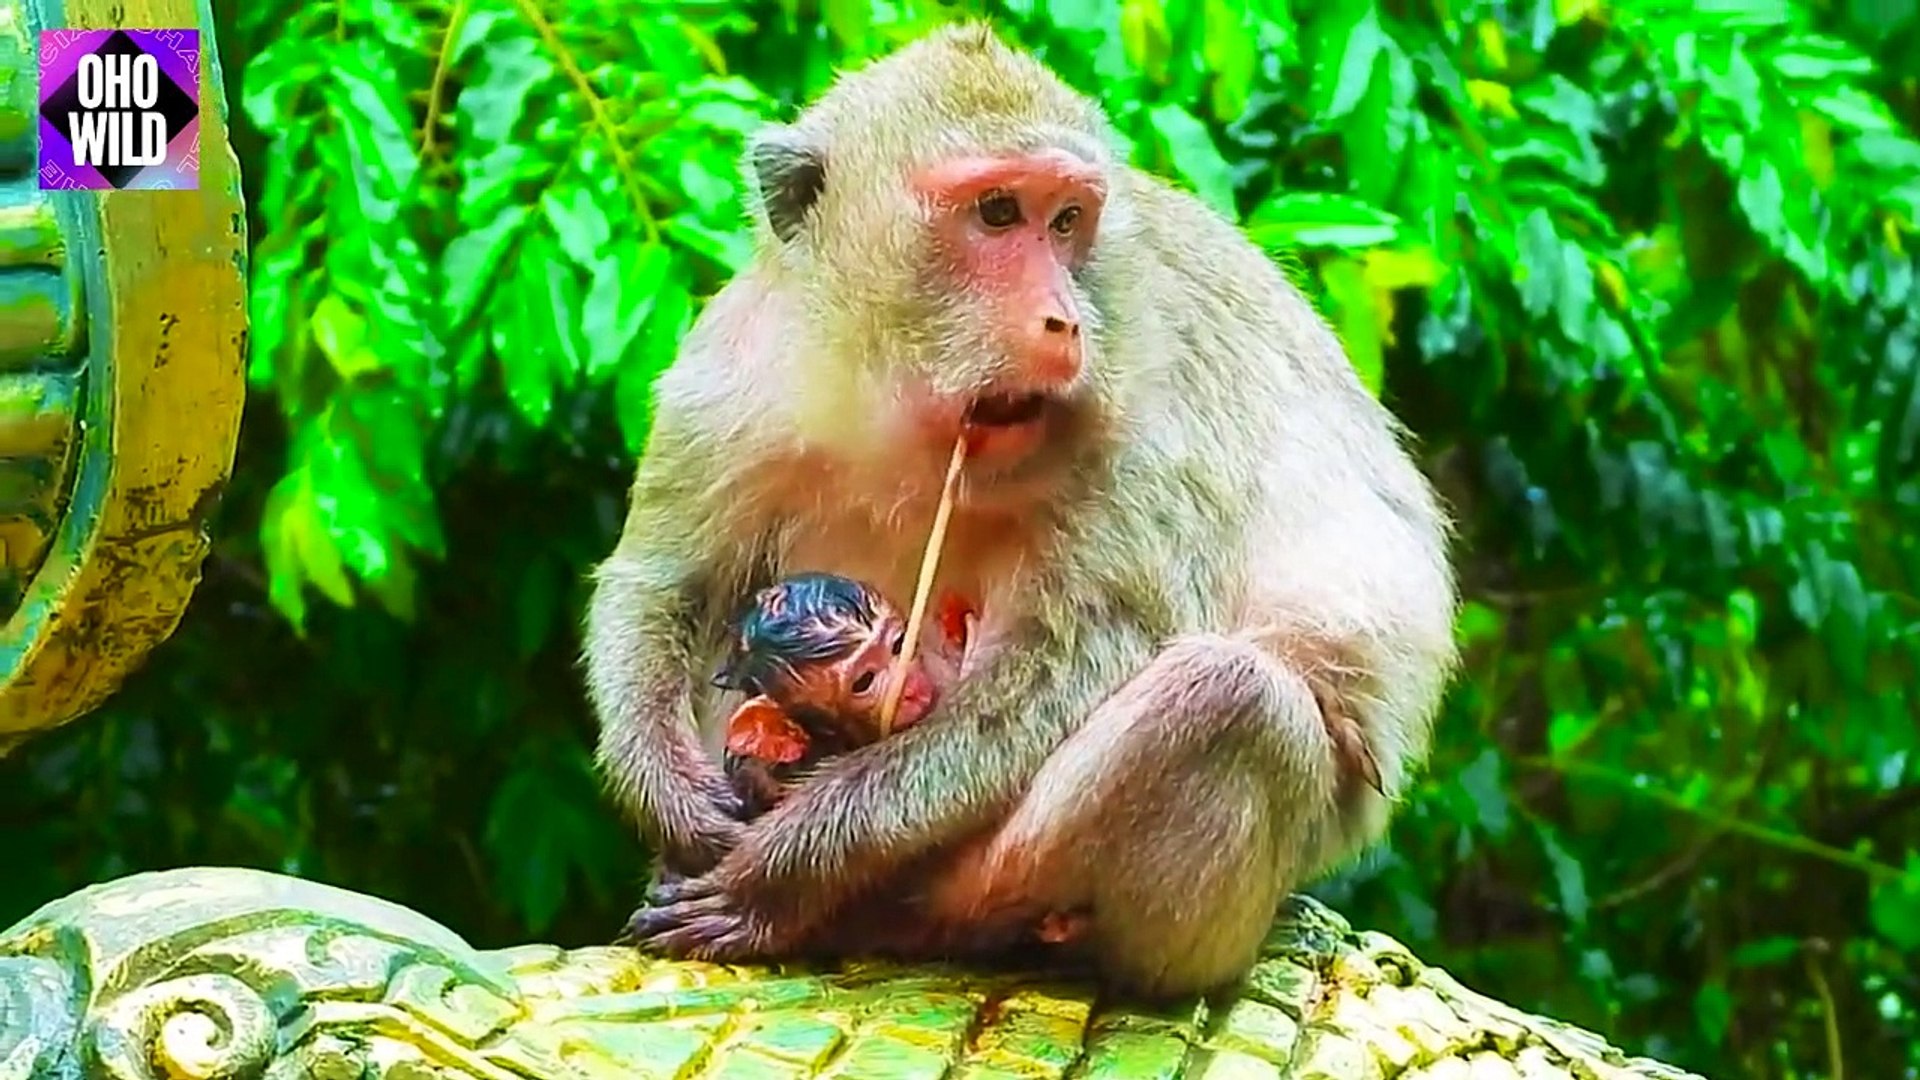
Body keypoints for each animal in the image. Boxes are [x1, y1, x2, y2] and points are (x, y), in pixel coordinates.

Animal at [584, 23, 1457, 998]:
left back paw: (891, 914)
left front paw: (788, 867)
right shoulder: (727, 375)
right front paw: (672, 795)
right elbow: (663, 583)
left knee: (1235, 697)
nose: (1061, 319)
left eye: (1067, 221)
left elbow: (1082, 660)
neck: (895, 391)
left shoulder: (1139, 405)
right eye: (997, 213)